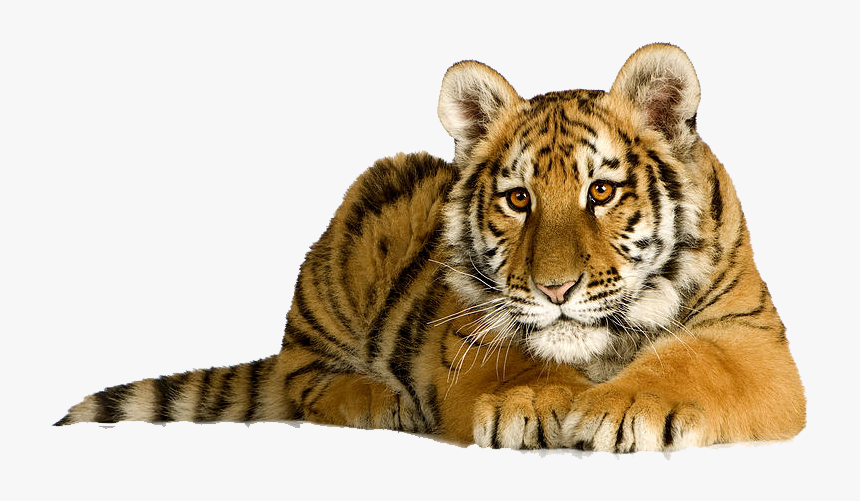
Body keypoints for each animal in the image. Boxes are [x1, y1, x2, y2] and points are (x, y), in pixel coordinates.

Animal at [56, 43, 806, 452]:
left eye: (600, 191)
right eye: (518, 199)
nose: (555, 290)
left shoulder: (755, 342)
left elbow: (696, 360)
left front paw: (623, 406)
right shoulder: (464, 336)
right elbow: (516, 359)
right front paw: (538, 402)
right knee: (300, 376)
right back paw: (376, 398)